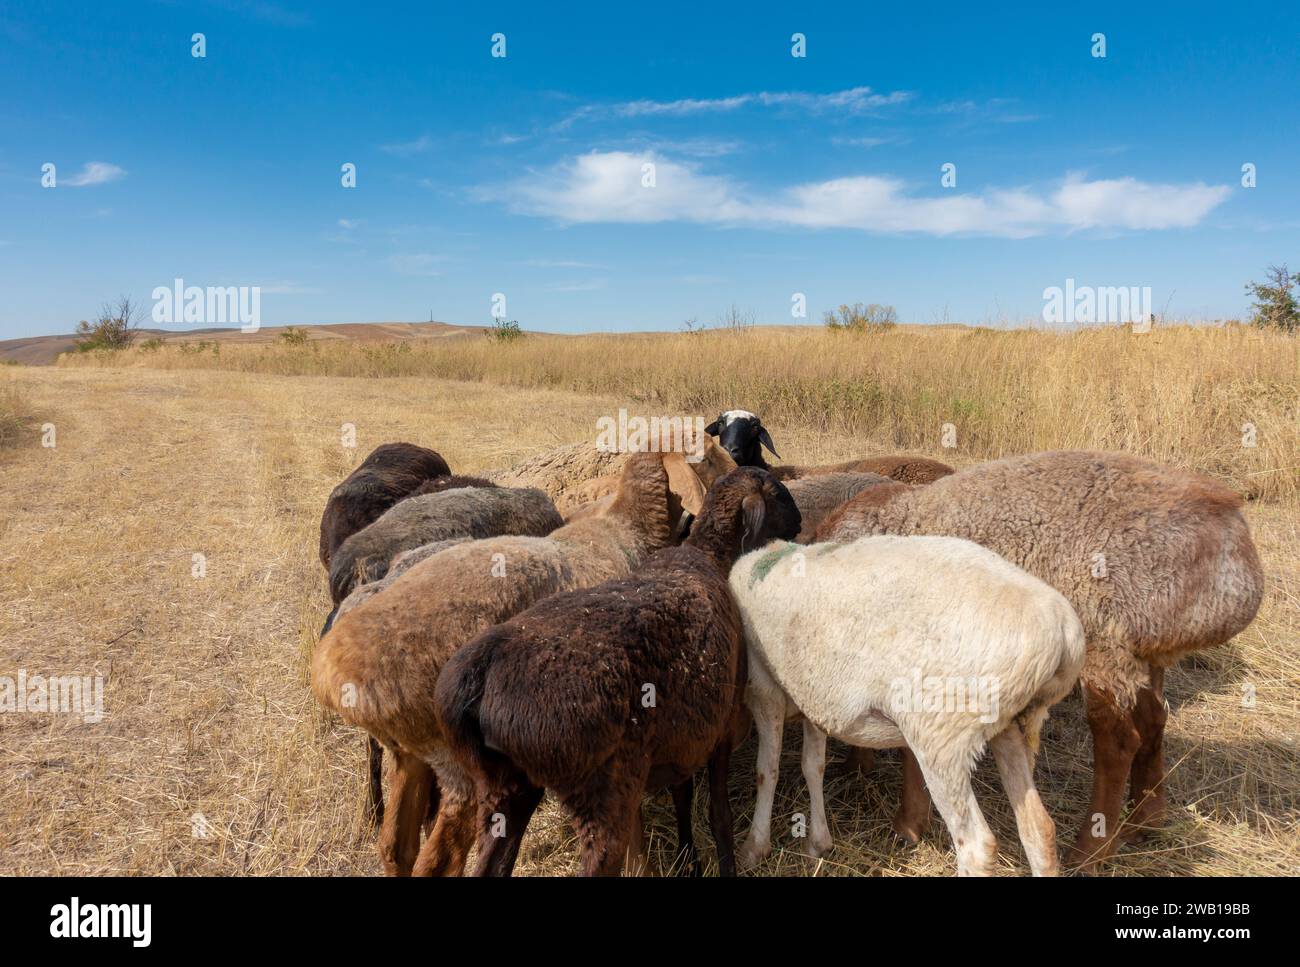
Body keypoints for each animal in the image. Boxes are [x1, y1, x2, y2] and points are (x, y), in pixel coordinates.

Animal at [436, 467, 803, 877]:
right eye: (779, 495)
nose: (801, 522)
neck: (708, 554)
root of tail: (482, 670)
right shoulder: (720, 730)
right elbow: (718, 813)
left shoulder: (684, 737)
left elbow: (683, 795)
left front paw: (687, 859)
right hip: (603, 791)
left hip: (505, 787)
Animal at [729, 535, 1085, 876]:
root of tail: (1064, 631)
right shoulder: (815, 697)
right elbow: (812, 765)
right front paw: (818, 843)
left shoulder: (763, 688)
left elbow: (766, 770)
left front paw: (754, 847)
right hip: (1012, 726)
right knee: (1040, 829)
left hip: (942, 736)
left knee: (976, 846)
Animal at [814, 450, 1265, 869]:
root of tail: (1236, 550)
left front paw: (906, 823)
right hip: (1145, 651)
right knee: (1155, 719)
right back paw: (1147, 821)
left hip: (1103, 638)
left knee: (1118, 742)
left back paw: (1090, 850)